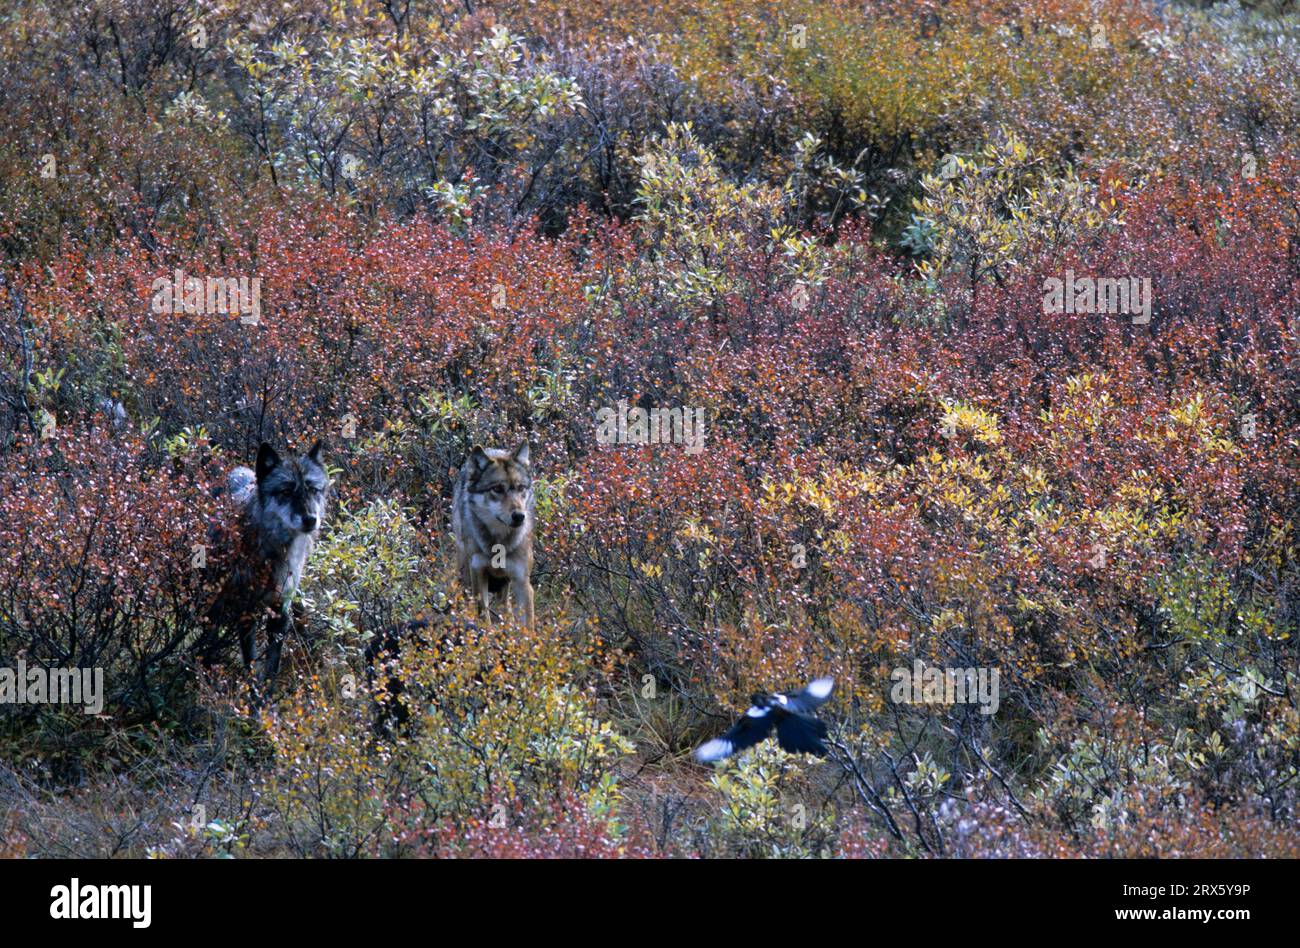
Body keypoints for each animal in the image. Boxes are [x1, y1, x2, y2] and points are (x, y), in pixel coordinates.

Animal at [205, 441, 329, 686]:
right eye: (286, 492)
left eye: (312, 489)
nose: (311, 519)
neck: (274, 554)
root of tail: (238, 470)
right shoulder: (246, 610)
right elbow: (251, 660)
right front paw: (253, 691)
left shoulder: (280, 609)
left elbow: (272, 665)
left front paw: (267, 693)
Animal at [450, 443, 535, 630]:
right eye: (497, 489)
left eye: (520, 488)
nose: (519, 516)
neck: (499, 541)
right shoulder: (478, 572)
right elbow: (484, 616)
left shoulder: (522, 582)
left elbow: (527, 627)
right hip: (464, 572)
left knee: (506, 605)